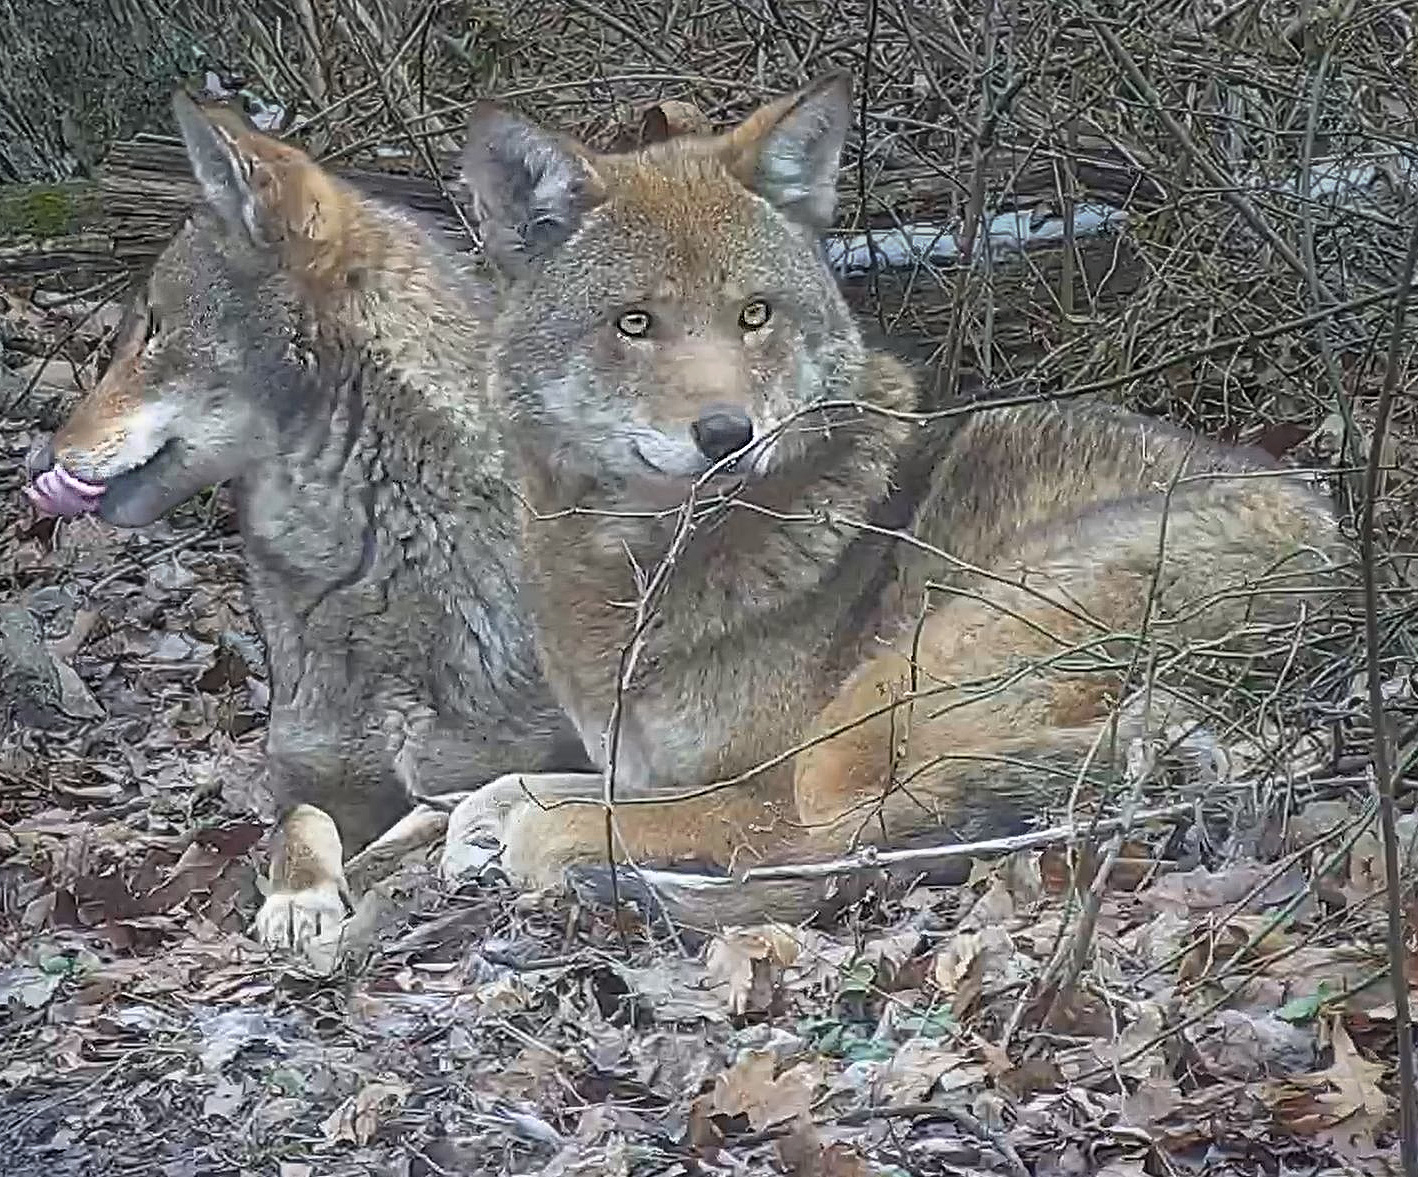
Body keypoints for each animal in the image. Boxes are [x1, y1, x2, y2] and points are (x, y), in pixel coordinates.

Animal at [24, 91, 589, 952]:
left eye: (153, 328)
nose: (38, 462)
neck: (375, 554)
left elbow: (466, 797)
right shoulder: (307, 774)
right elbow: (300, 826)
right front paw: (299, 898)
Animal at [438, 73, 1352, 928]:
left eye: (754, 315)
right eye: (634, 324)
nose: (729, 433)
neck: (640, 565)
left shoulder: (749, 777)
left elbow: (594, 808)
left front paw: (531, 837)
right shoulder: (632, 761)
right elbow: (504, 788)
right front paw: (472, 828)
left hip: (872, 711)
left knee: (822, 844)